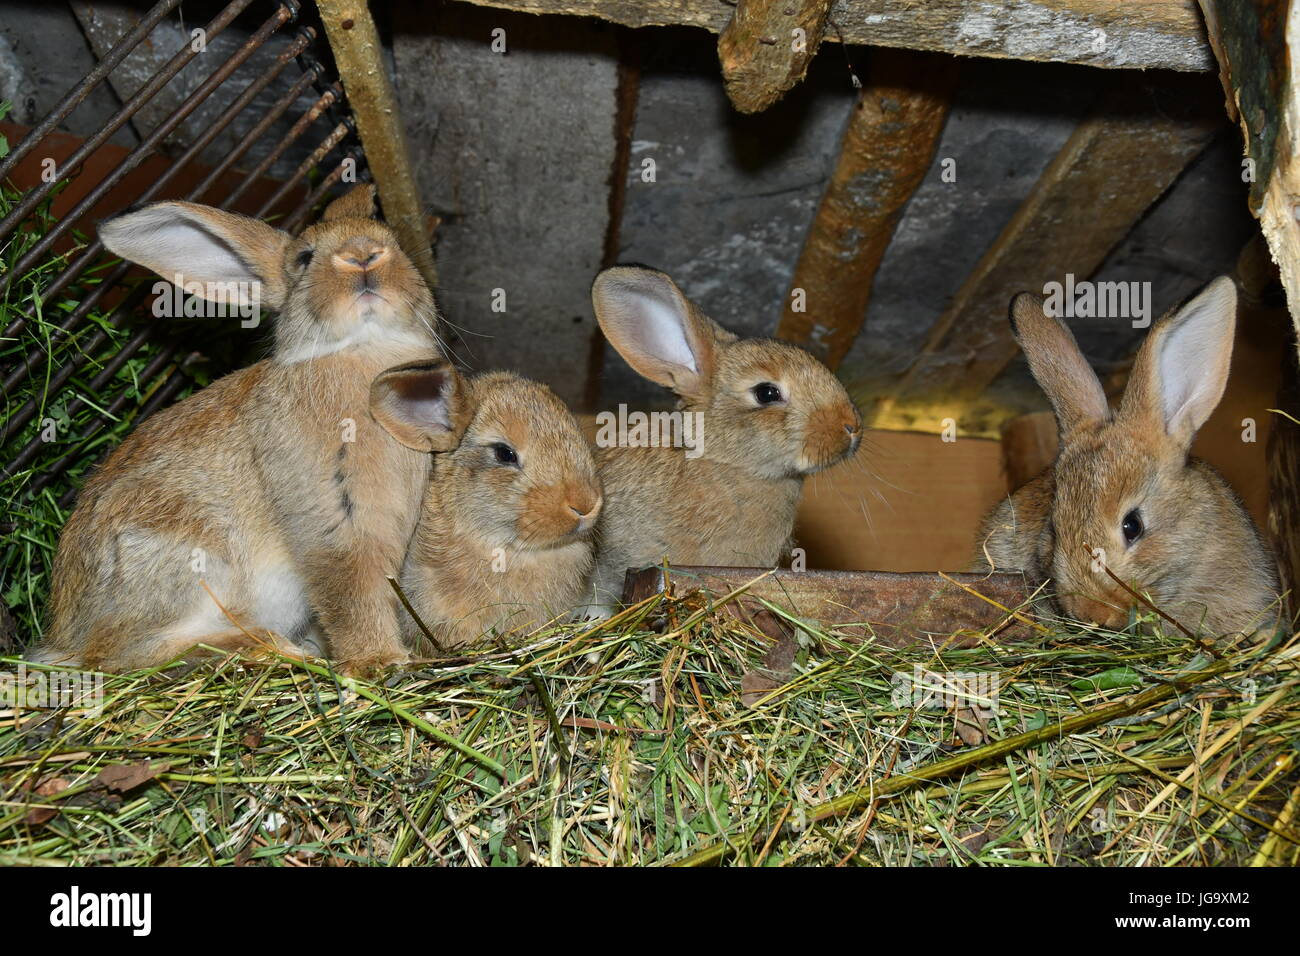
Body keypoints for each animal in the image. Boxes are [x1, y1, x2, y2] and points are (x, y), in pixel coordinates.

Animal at [31, 185, 448, 676]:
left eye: (394, 241)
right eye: (304, 258)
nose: (363, 254)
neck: (364, 351)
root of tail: (64, 638)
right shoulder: (332, 520)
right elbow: (349, 589)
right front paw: (378, 662)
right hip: (185, 561)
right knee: (124, 655)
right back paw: (270, 648)